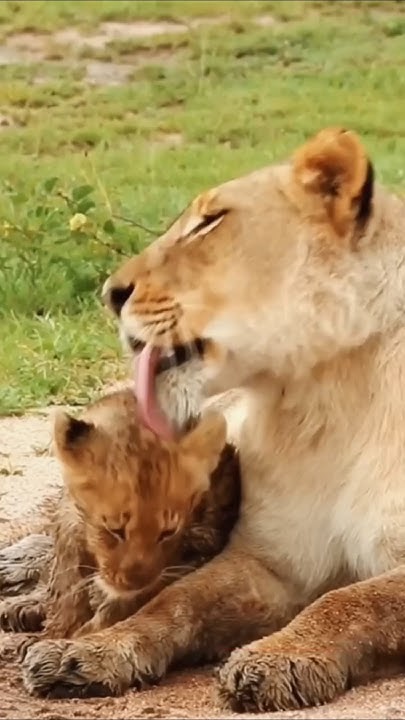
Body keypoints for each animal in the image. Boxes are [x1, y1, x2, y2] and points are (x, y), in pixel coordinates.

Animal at [0, 388, 240, 641]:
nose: (134, 582)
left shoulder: (195, 551)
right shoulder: (68, 520)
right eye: (114, 530)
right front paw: (60, 626)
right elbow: (64, 575)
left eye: (168, 532)